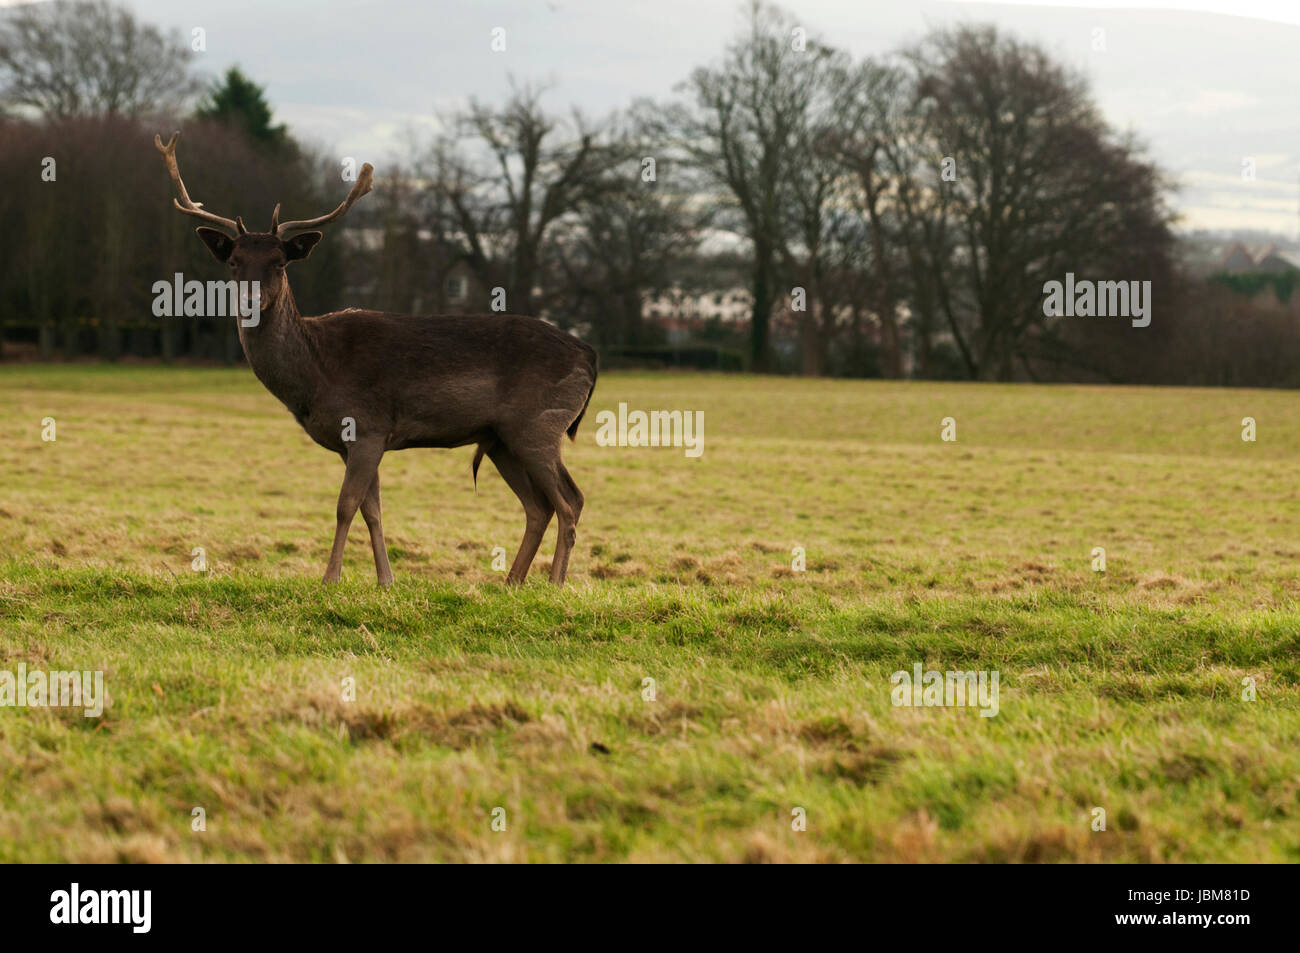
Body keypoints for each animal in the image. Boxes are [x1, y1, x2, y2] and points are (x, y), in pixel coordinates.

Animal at [154, 131, 597, 587]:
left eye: (279, 263)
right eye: (233, 262)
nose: (249, 302)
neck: (316, 377)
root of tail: (590, 355)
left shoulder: (367, 426)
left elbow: (346, 504)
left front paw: (330, 578)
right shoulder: (357, 440)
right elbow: (372, 509)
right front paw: (386, 580)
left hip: (539, 424)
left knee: (570, 500)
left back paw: (555, 583)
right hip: (500, 439)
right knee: (539, 506)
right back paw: (511, 582)